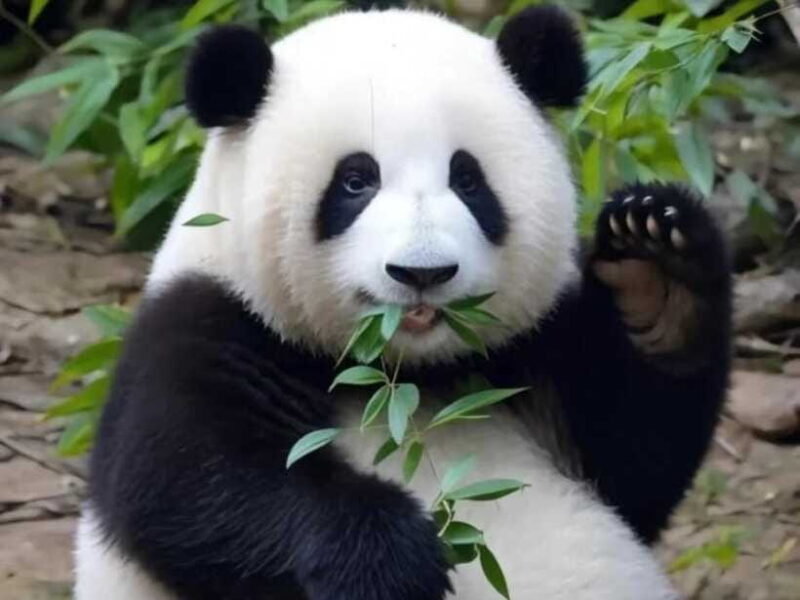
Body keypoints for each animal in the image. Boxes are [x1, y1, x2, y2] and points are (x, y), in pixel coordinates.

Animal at [74, 6, 731, 600]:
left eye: (468, 180)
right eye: (355, 181)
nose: (422, 271)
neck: (403, 379)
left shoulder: (534, 346)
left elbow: (636, 464)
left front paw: (654, 278)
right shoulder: (211, 321)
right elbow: (186, 483)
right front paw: (389, 556)